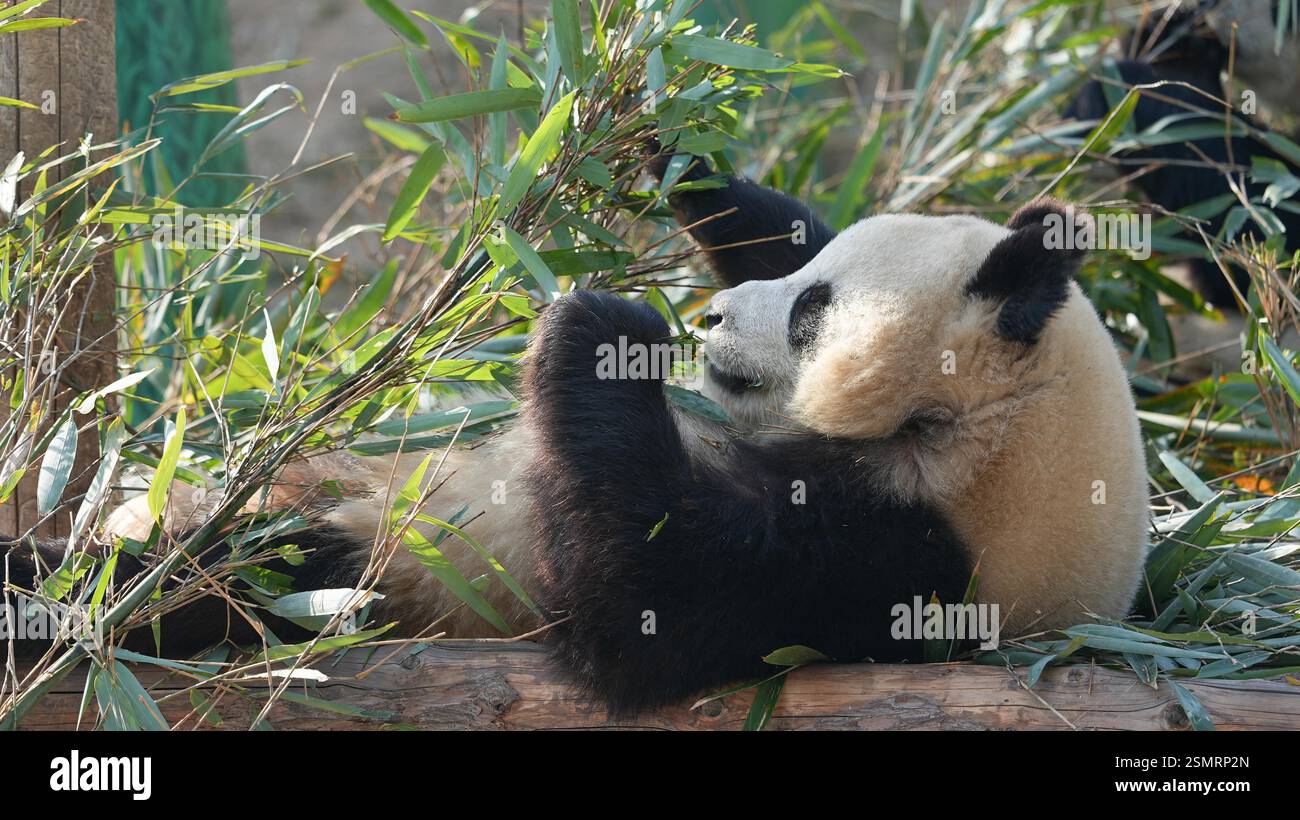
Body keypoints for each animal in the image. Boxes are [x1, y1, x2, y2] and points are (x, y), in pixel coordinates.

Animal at [4, 168, 1149, 714]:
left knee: (219, 588)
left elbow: (650, 608)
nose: (711, 319)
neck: (991, 443)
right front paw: (656, 127)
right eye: (810, 276)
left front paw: (602, 325)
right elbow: (770, 212)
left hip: (361, 581)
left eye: (811, 309)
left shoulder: (906, 568)